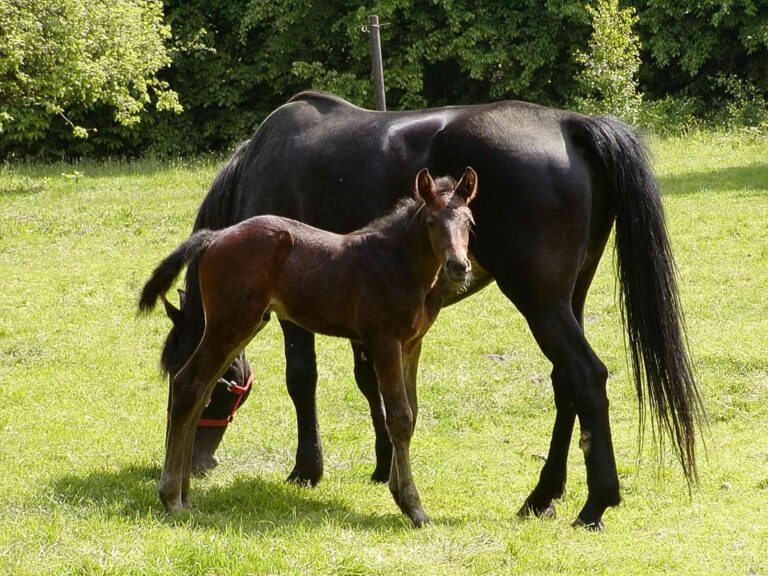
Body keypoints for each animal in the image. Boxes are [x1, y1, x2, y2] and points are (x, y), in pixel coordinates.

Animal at [140, 168, 479, 526]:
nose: (458, 266)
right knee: (188, 384)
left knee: (202, 389)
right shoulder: (384, 341)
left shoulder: (412, 344)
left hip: (243, 324)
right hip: (230, 324)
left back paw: (185, 496)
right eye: (431, 222)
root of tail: (214, 237)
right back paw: (171, 497)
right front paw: (413, 507)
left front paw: (400, 495)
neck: (397, 262)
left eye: (469, 221)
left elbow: (411, 414)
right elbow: (399, 417)